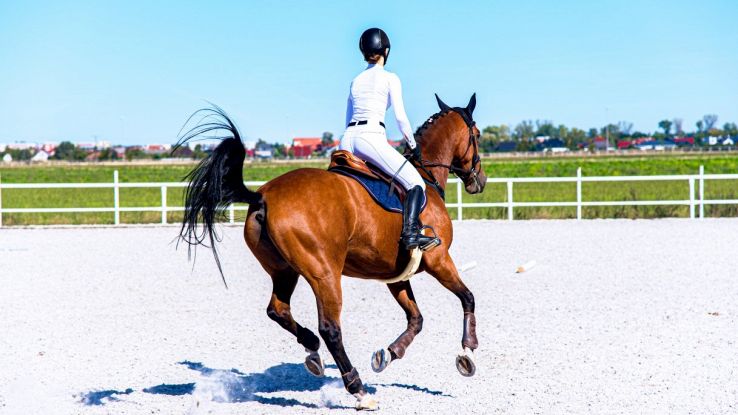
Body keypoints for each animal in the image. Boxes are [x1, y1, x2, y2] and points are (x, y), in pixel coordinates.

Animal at [177, 93, 487, 410]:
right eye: (476, 135)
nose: (480, 181)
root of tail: (263, 195)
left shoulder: (396, 275)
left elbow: (417, 319)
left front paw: (387, 354)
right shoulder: (439, 260)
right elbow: (468, 298)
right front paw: (467, 353)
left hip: (284, 271)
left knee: (278, 310)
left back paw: (312, 349)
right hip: (325, 274)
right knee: (330, 328)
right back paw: (358, 390)